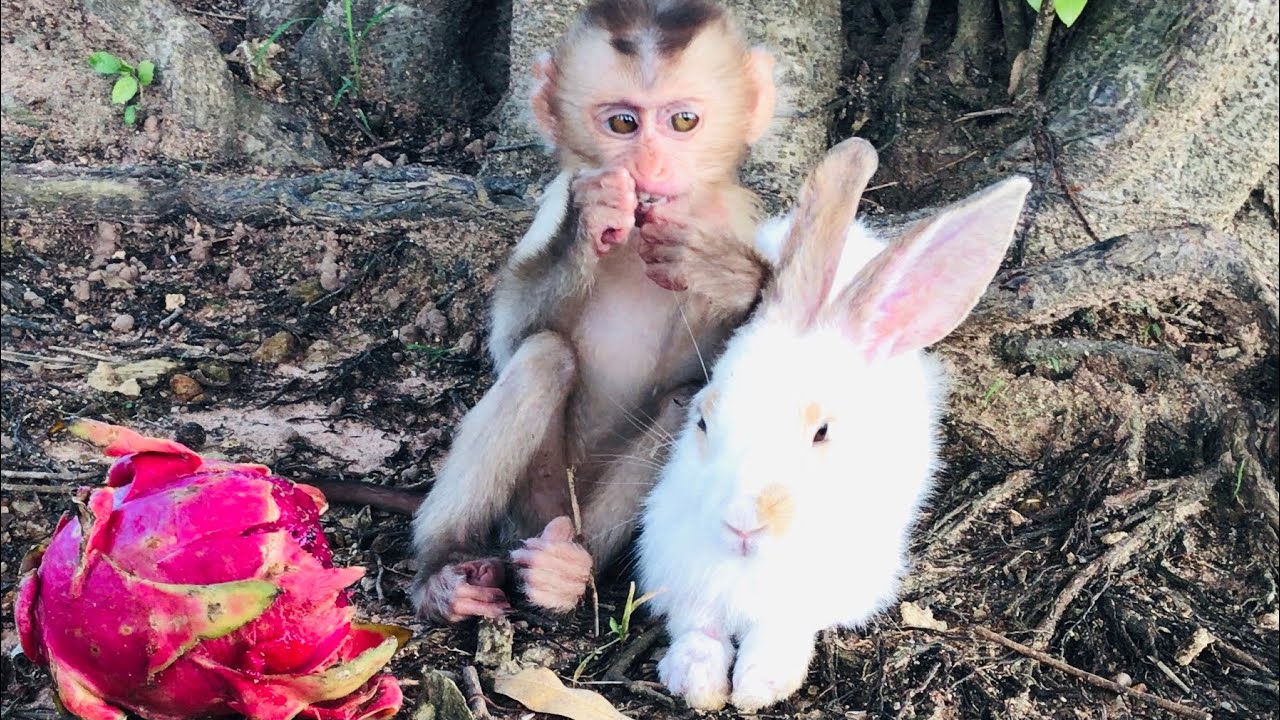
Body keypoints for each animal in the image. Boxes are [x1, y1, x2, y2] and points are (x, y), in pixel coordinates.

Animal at [318, 0, 779, 625]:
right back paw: (445, 568)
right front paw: (593, 221)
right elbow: (513, 337)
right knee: (543, 357)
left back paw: (567, 570)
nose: (650, 167)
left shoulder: (735, 221)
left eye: (683, 122)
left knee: (687, 401)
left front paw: (724, 275)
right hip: (531, 500)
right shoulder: (559, 195)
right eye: (623, 124)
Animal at [634, 135, 1031, 713]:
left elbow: (780, 631)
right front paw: (699, 683)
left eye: (822, 433)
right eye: (703, 421)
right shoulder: (679, 579)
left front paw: (757, 685)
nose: (744, 524)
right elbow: (697, 629)